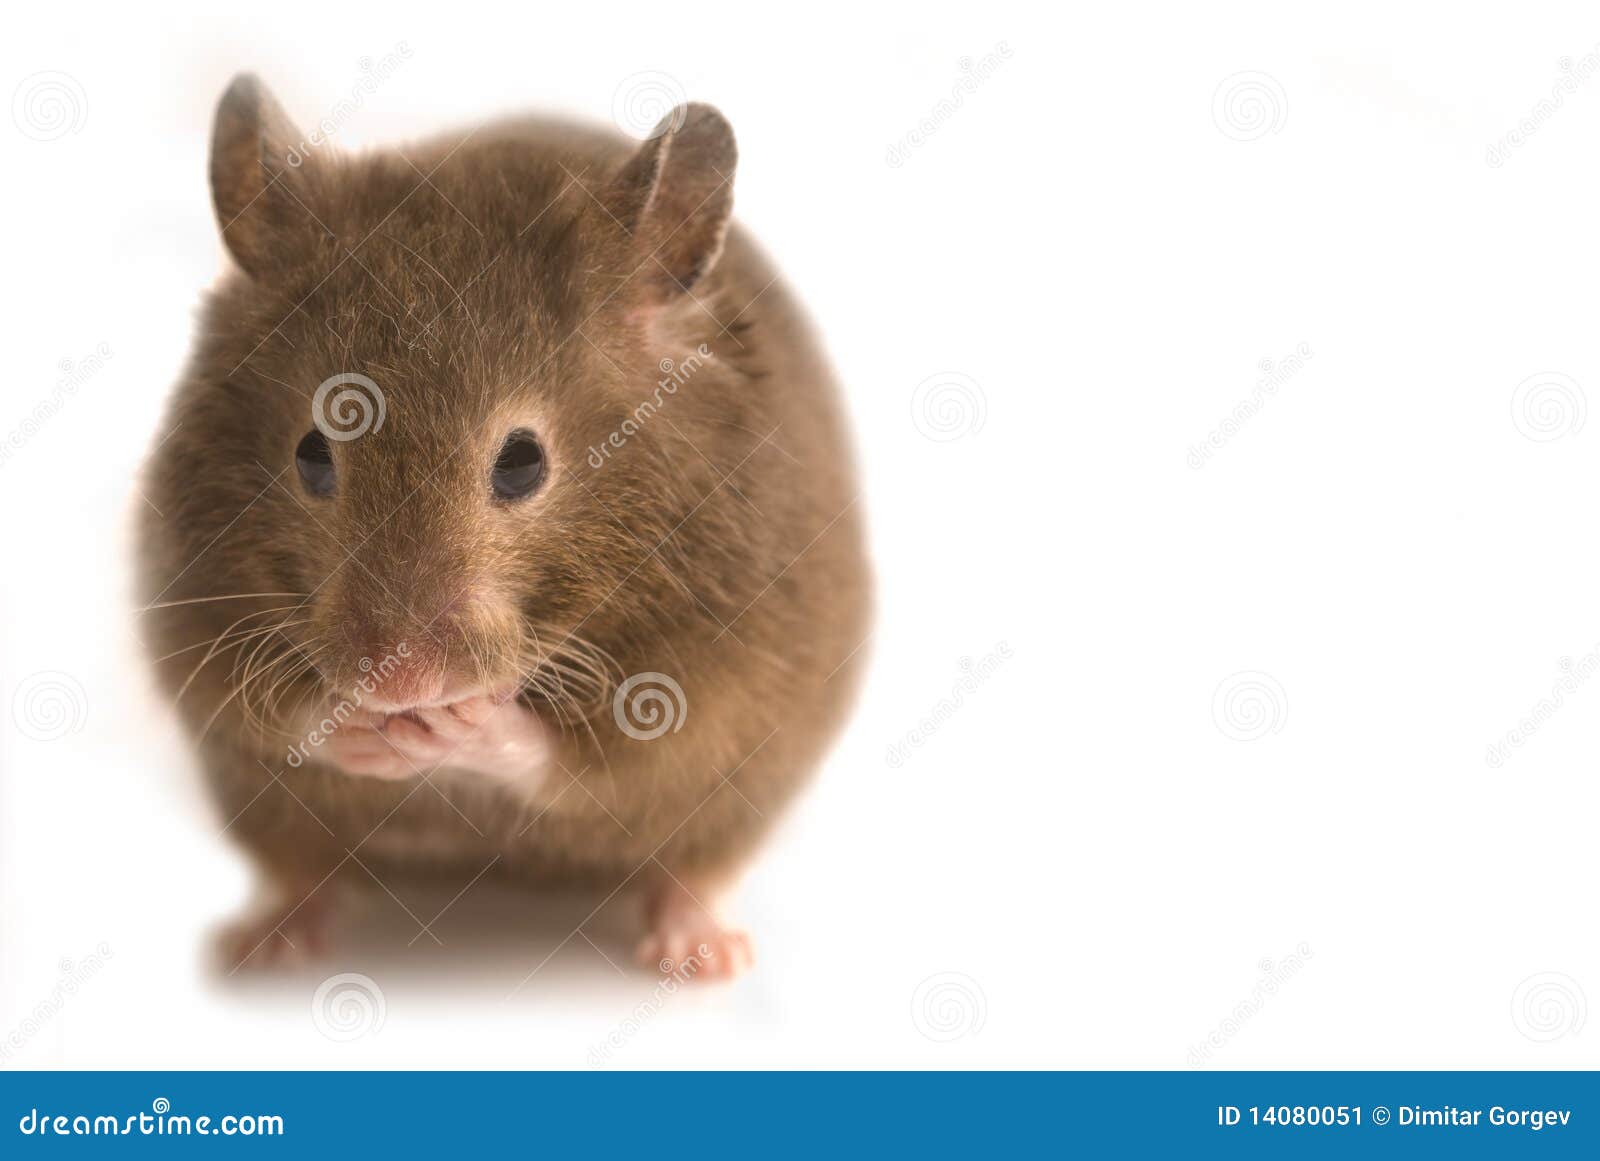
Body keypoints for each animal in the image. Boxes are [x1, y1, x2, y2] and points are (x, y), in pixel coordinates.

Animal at [137, 75, 871, 979]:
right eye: (310, 453)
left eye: (522, 463)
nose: (398, 686)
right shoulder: (194, 627)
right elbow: (275, 718)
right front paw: (366, 726)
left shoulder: (713, 690)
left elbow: (569, 757)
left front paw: (457, 725)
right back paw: (265, 945)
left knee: (691, 866)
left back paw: (701, 955)